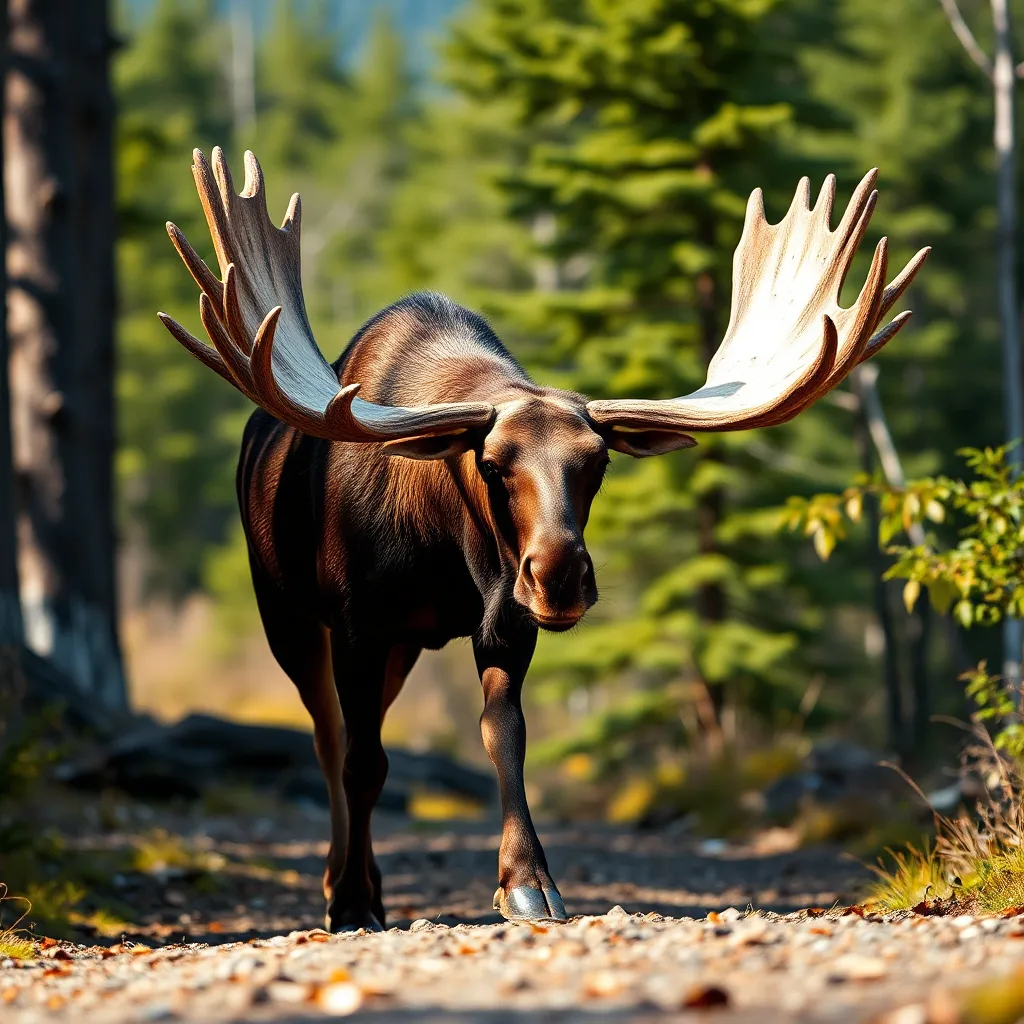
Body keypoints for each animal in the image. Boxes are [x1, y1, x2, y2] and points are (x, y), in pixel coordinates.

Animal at [159, 148, 928, 931]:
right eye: (493, 464)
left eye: (598, 462)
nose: (558, 575)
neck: (449, 553)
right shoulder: (357, 621)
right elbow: (362, 759)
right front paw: (349, 900)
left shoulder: (503, 621)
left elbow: (505, 735)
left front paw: (526, 881)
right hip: (288, 616)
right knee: (329, 737)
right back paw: (346, 886)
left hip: (401, 645)